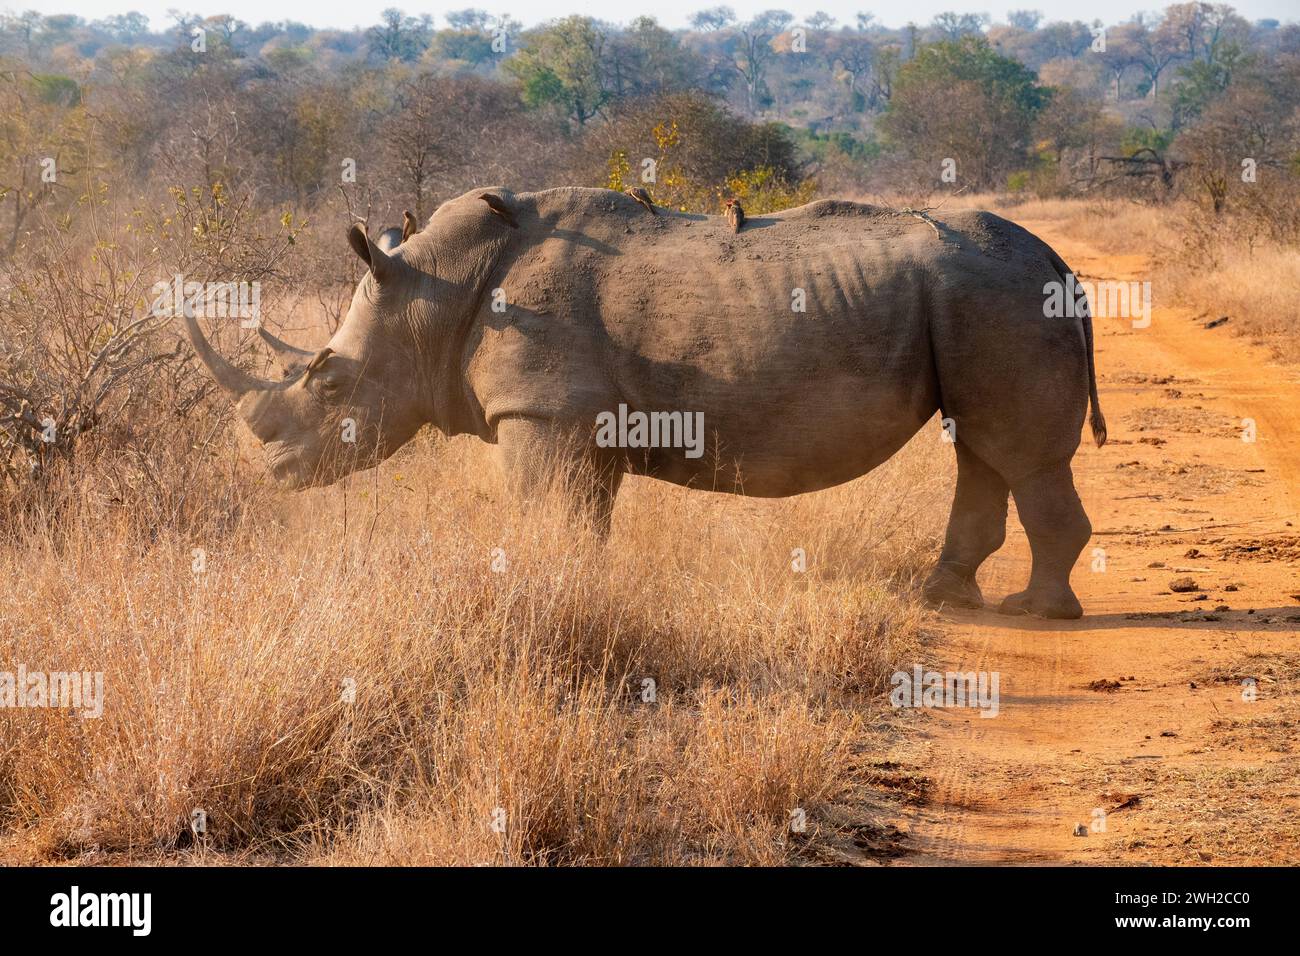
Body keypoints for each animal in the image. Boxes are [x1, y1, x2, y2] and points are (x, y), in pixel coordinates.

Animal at [181, 187, 1106, 619]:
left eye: (330, 383)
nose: (275, 469)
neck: (429, 297)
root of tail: (1060, 265)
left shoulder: (540, 413)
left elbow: (546, 512)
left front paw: (544, 586)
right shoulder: (572, 420)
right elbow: (582, 516)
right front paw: (577, 586)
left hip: (998, 298)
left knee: (1018, 454)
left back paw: (1037, 612)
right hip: (979, 301)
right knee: (980, 446)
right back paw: (945, 598)